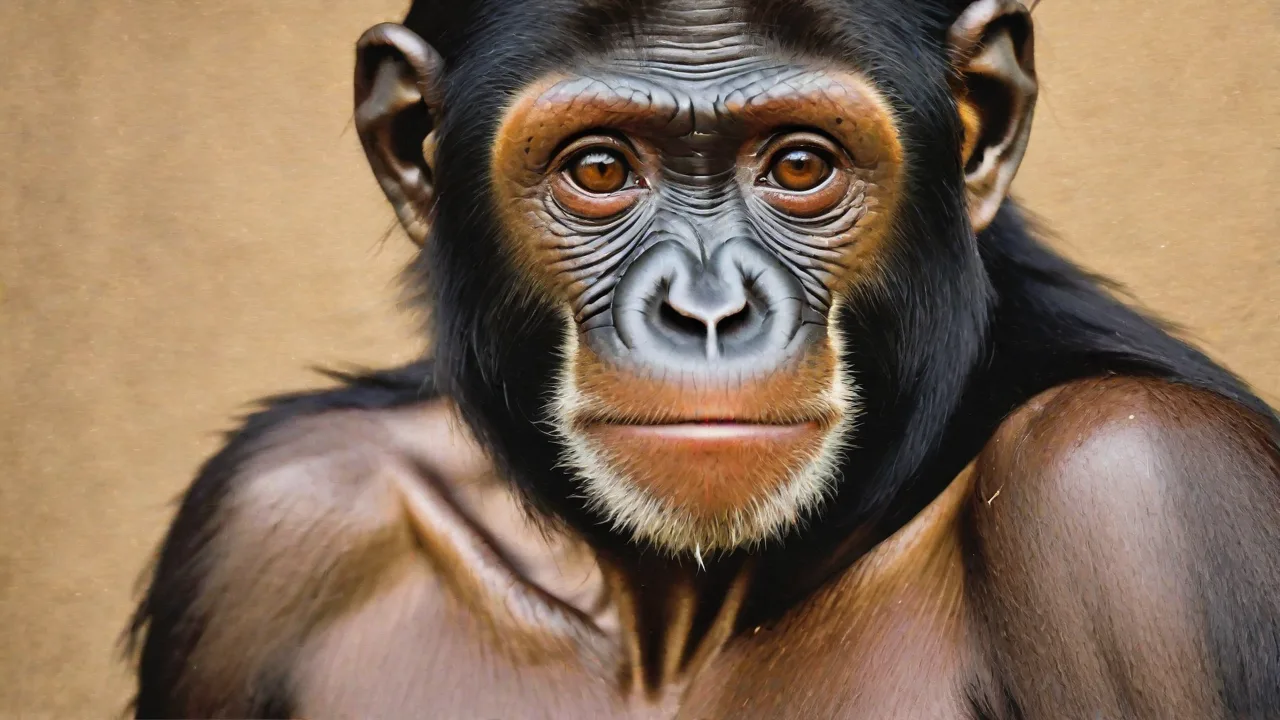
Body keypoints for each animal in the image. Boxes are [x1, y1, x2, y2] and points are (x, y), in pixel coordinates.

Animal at [126, 0, 1280, 717]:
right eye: (599, 168)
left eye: (800, 164)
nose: (707, 310)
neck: (668, 621)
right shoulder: (266, 526)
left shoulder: (1137, 501)